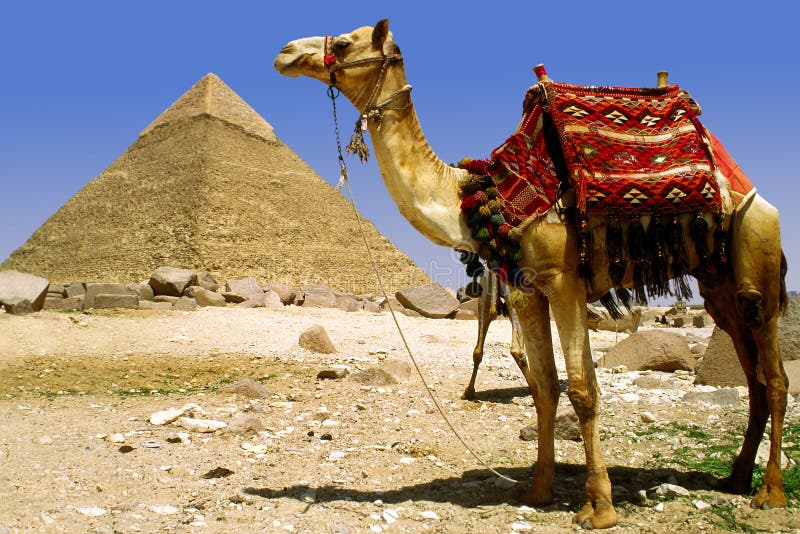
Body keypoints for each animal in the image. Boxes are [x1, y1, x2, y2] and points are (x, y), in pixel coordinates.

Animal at [275, 20, 789, 529]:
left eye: (345, 43)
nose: (285, 52)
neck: (485, 197)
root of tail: (748, 189)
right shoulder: (526, 291)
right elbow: (544, 387)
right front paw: (539, 489)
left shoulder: (563, 283)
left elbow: (582, 389)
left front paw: (599, 506)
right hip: (717, 282)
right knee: (754, 376)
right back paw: (736, 478)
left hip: (755, 261)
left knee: (776, 377)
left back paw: (771, 493)